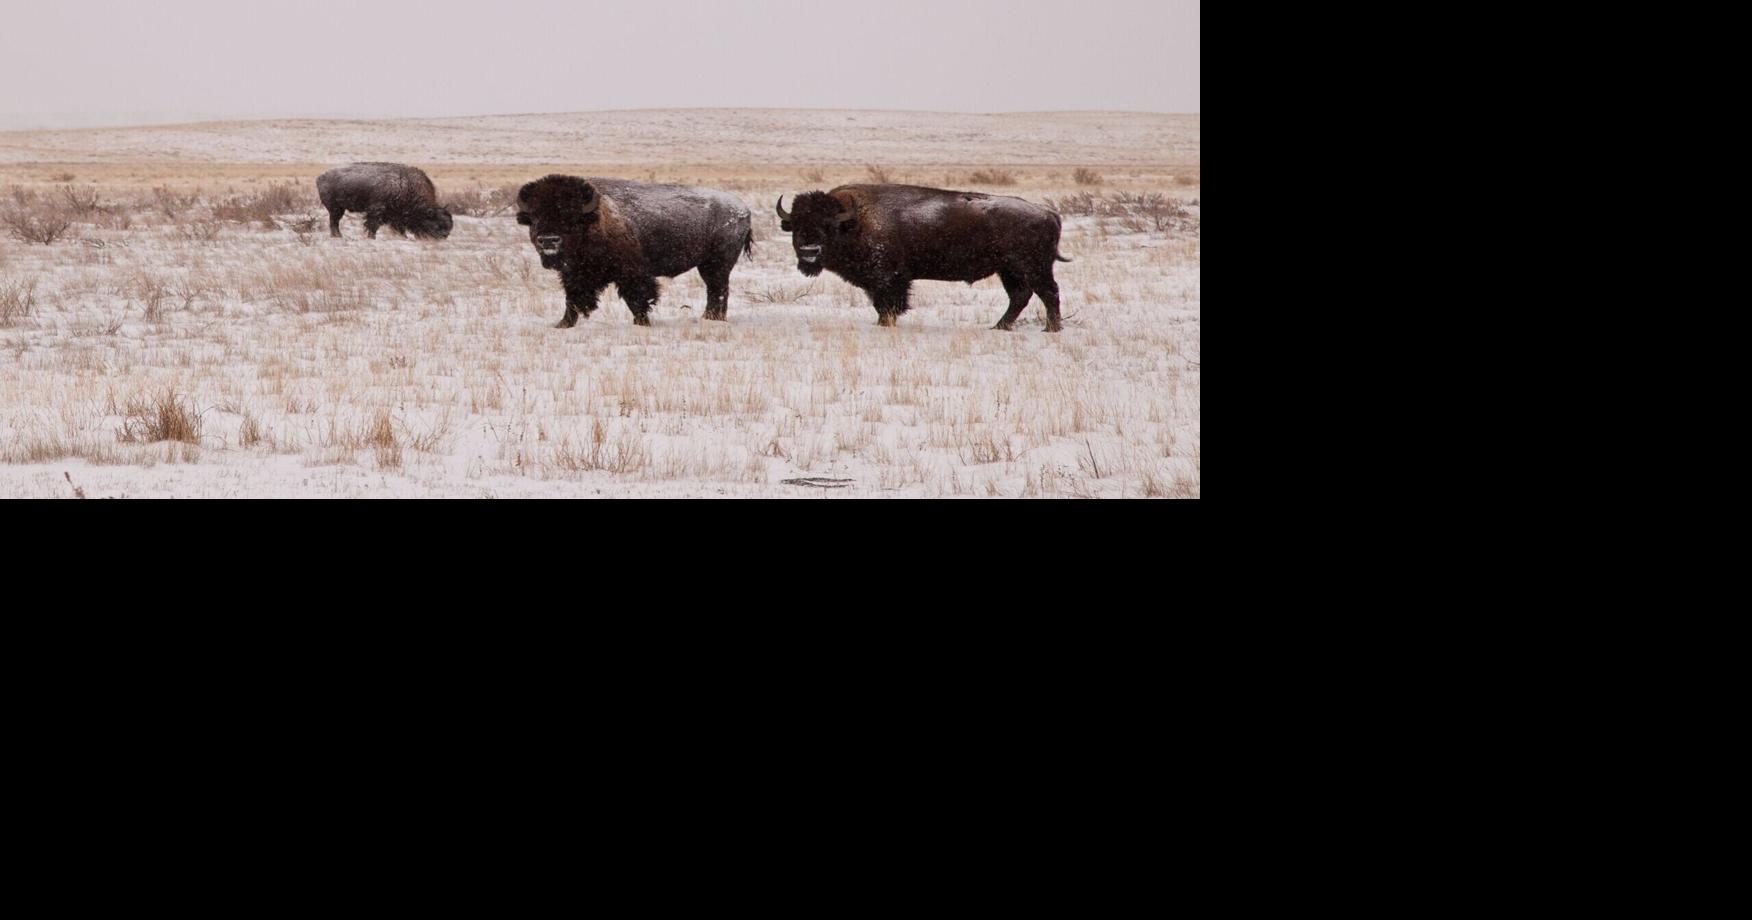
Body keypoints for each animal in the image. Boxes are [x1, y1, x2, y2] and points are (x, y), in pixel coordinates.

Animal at [317, 163, 454, 240]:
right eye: (436, 223)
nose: (444, 236)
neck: (407, 186)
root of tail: (320, 177)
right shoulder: (377, 211)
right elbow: (373, 225)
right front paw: (372, 237)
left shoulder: (396, 215)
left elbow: (398, 227)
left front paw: (403, 237)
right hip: (336, 208)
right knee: (334, 221)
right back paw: (338, 236)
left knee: (334, 221)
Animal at [516, 175, 753, 328]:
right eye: (535, 218)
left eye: (571, 218)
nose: (548, 241)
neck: (595, 219)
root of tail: (743, 209)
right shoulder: (574, 274)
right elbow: (572, 299)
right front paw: (563, 324)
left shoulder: (631, 273)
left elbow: (637, 299)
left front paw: (642, 323)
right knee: (717, 291)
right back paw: (710, 318)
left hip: (717, 265)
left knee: (718, 289)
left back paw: (713, 319)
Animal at [776, 184, 1071, 332]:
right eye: (798, 226)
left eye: (828, 226)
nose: (809, 252)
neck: (854, 221)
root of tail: (1049, 213)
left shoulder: (888, 279)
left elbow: (888, 306)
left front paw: (884, 325)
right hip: (1009, 271)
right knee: (1021, 296)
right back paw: (999, 327)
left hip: (1032, 268)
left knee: (1048, 292)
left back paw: (1051, 329)